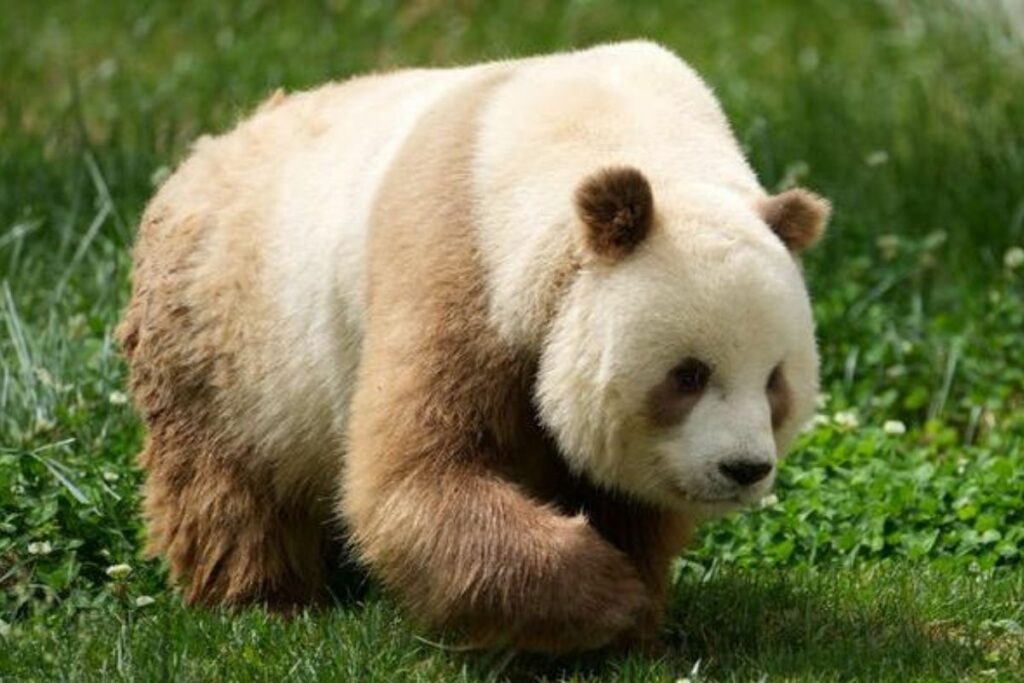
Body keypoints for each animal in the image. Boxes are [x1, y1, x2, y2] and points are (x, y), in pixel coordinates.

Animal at [117, 40, 829, 653]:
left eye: (775, 381)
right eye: (688, 374)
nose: (744, 468)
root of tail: (203, 152)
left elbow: (625, 499)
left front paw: (635, 619)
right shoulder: (458, 252)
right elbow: (415, 474)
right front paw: (603, 596)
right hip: (223, 338)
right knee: (227, 487)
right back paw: (264, 601)